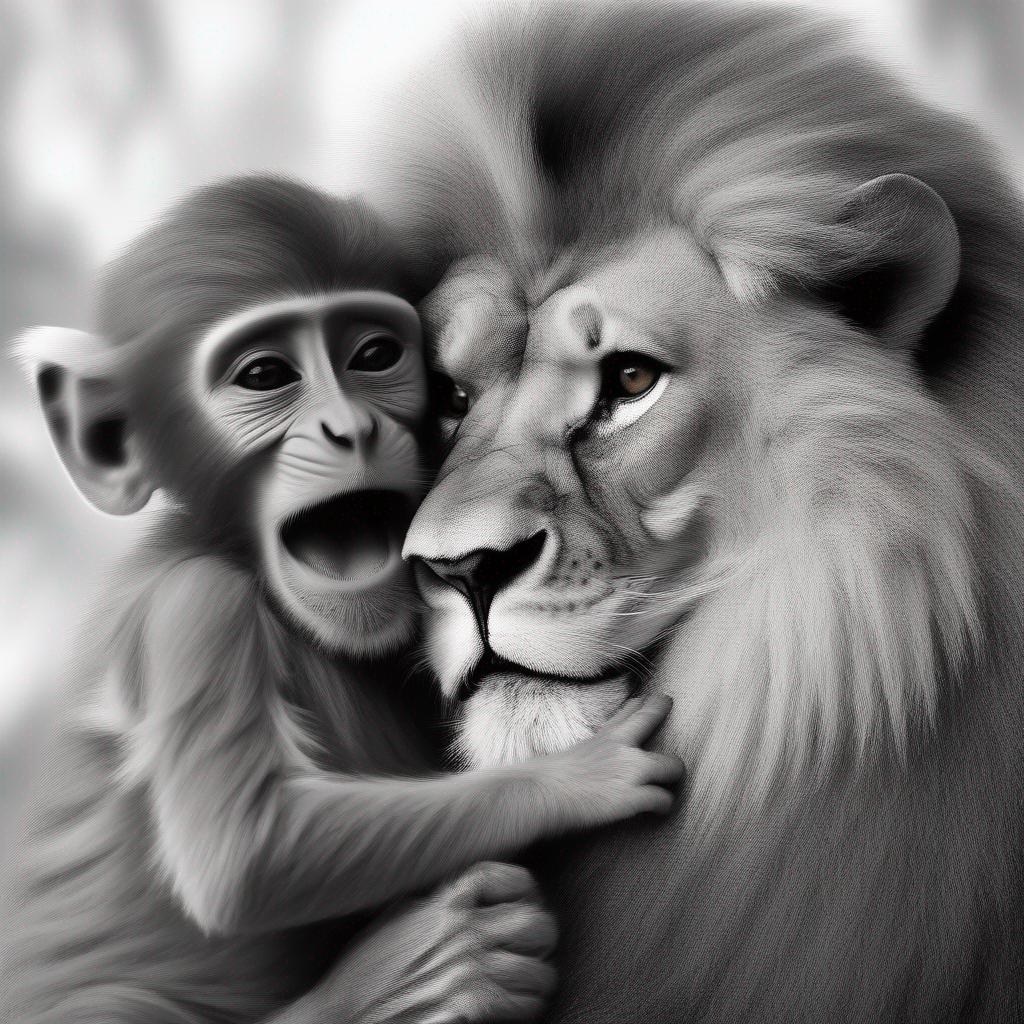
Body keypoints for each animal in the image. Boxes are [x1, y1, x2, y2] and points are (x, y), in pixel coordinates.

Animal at [3, 175, 684, 1024]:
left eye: (374, 357)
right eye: (265, 376)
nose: (350, 428)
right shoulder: (198, 609)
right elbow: (249, 854)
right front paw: (576, 780)